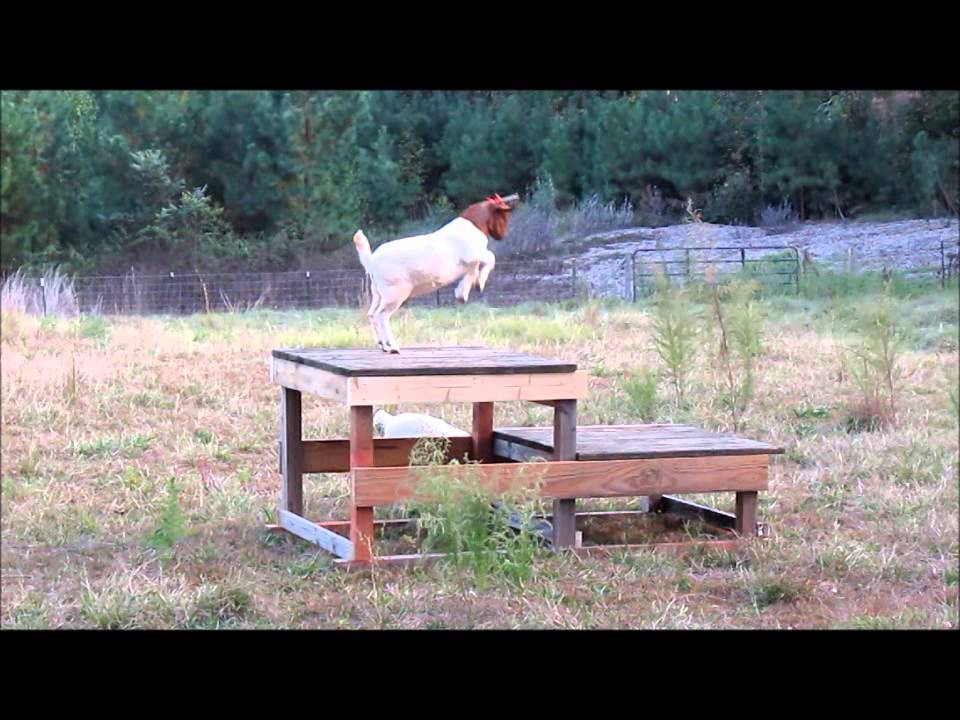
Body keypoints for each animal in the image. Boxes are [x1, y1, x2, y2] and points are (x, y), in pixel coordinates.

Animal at [353, 194, 516, 353]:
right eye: (503, 215)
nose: (503, 235)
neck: (472, 226)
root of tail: (371, 261)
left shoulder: (471, 262)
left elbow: (472, 271)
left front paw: (463, 293)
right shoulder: (473, 255)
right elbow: (490, 258)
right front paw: (479, 284)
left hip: (378, 294)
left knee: (372, 314)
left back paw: (382, 345)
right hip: (394, 295)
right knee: (381, 315)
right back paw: (392, 347)